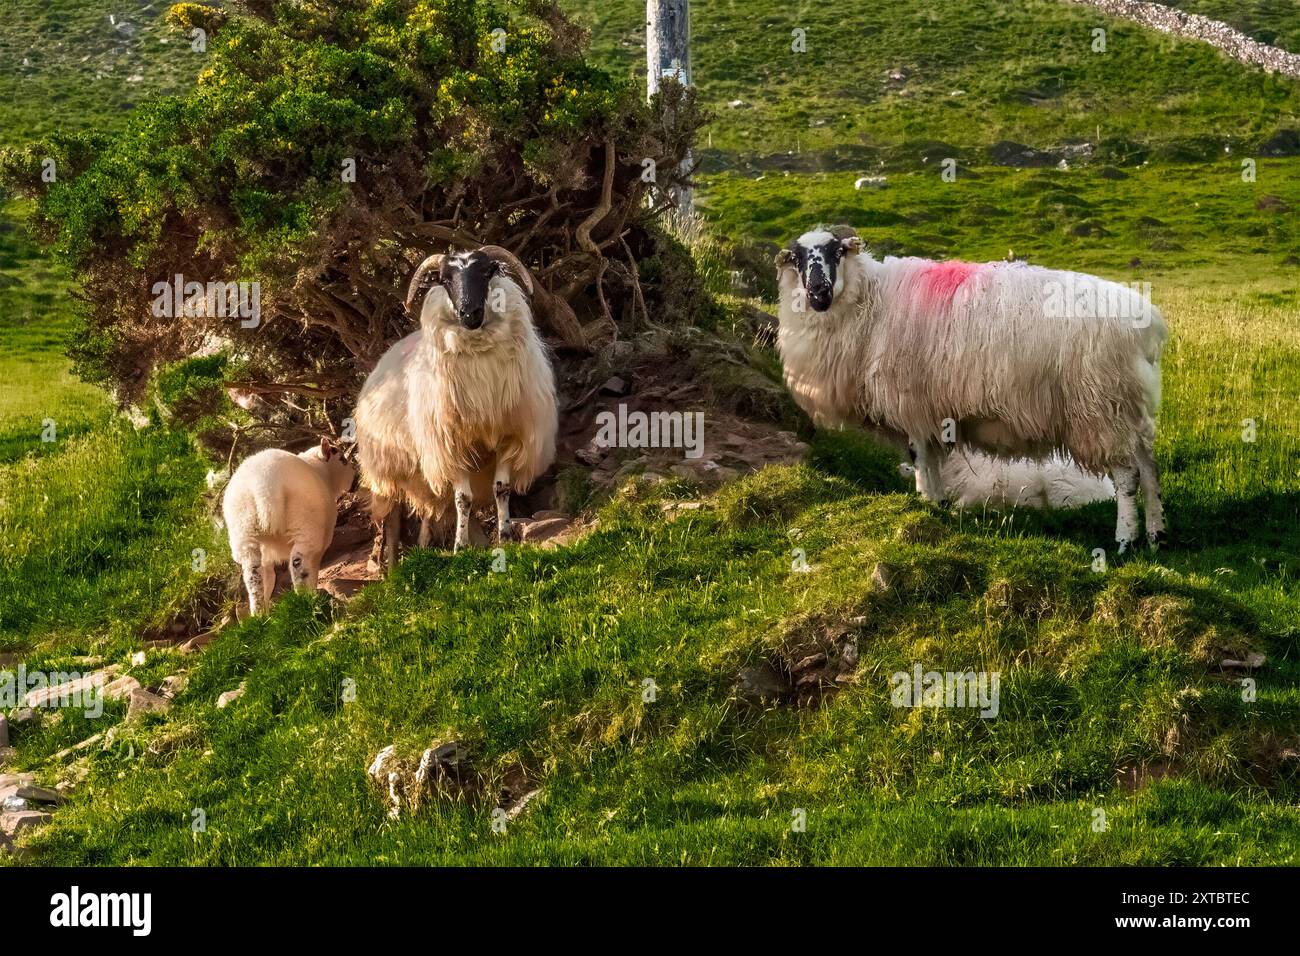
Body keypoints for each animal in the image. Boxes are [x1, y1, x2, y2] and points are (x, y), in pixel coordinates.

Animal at [222, 438, 357, 614]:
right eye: (342, 459)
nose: (356, 478)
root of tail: (264, 487)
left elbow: (269, 578)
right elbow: (313, 569)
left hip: (243, 530)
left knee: (254, 575)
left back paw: (259, 614)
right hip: (305, 523)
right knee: (299, 563)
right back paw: (307, 602)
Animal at [354, 246, 558, 565]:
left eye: (486, 272)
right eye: (445, 279)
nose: (469, 313)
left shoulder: (509, 437)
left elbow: (501, 490)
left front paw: (505, 536)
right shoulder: (452, 446)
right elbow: (463, 499)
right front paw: (459, 548)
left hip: (424, 476)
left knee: (435, 509)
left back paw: (446, 546)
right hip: (388, 470)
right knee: (392, 522)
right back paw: (393, 567)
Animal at [776, 228, 1167, 552]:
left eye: (837, 251)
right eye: (797, 258)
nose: (818, 292)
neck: (868, 303)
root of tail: (1148, 326)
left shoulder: (911, 403)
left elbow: (920, 458)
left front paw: (927, 501)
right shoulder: (931, 411)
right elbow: (932, 458)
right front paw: (938, 503)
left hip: (1102, 408)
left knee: (1128, 476)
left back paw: (1124, 539)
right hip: (1131, 409)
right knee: (1149, 469)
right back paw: (1155, 534)